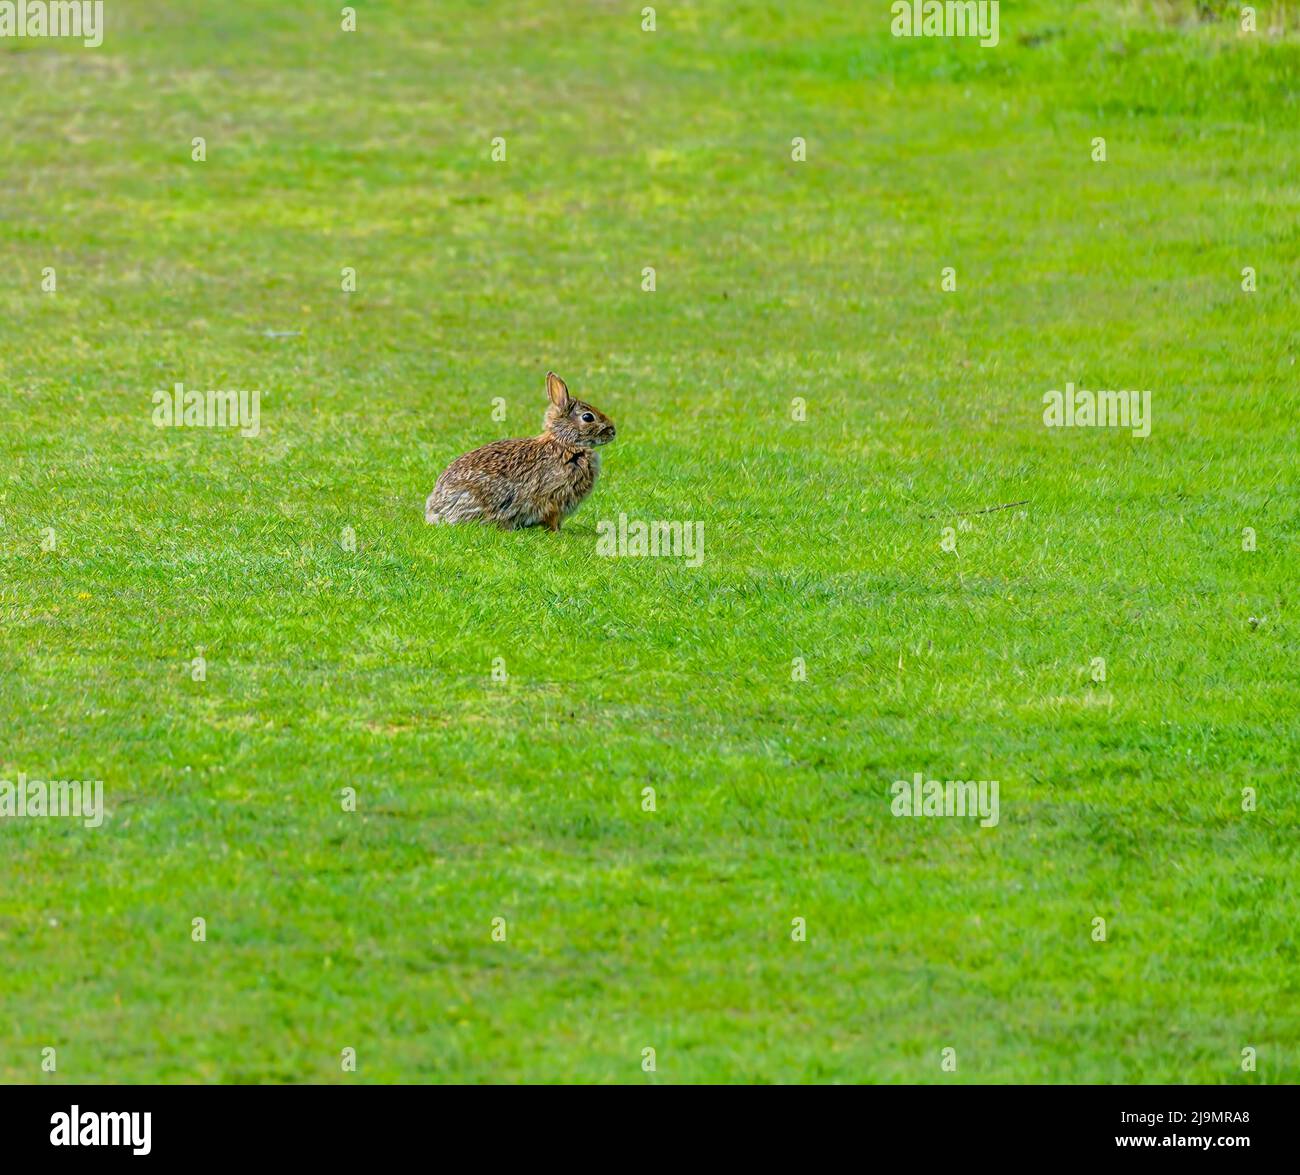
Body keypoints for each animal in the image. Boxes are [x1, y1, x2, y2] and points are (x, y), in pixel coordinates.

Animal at [425, 372, 616, 531]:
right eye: (588, 417)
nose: (613, 431)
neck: (566, 443)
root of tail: (435, 510)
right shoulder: (553, 498)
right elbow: (552, 519)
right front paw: (558, 533)